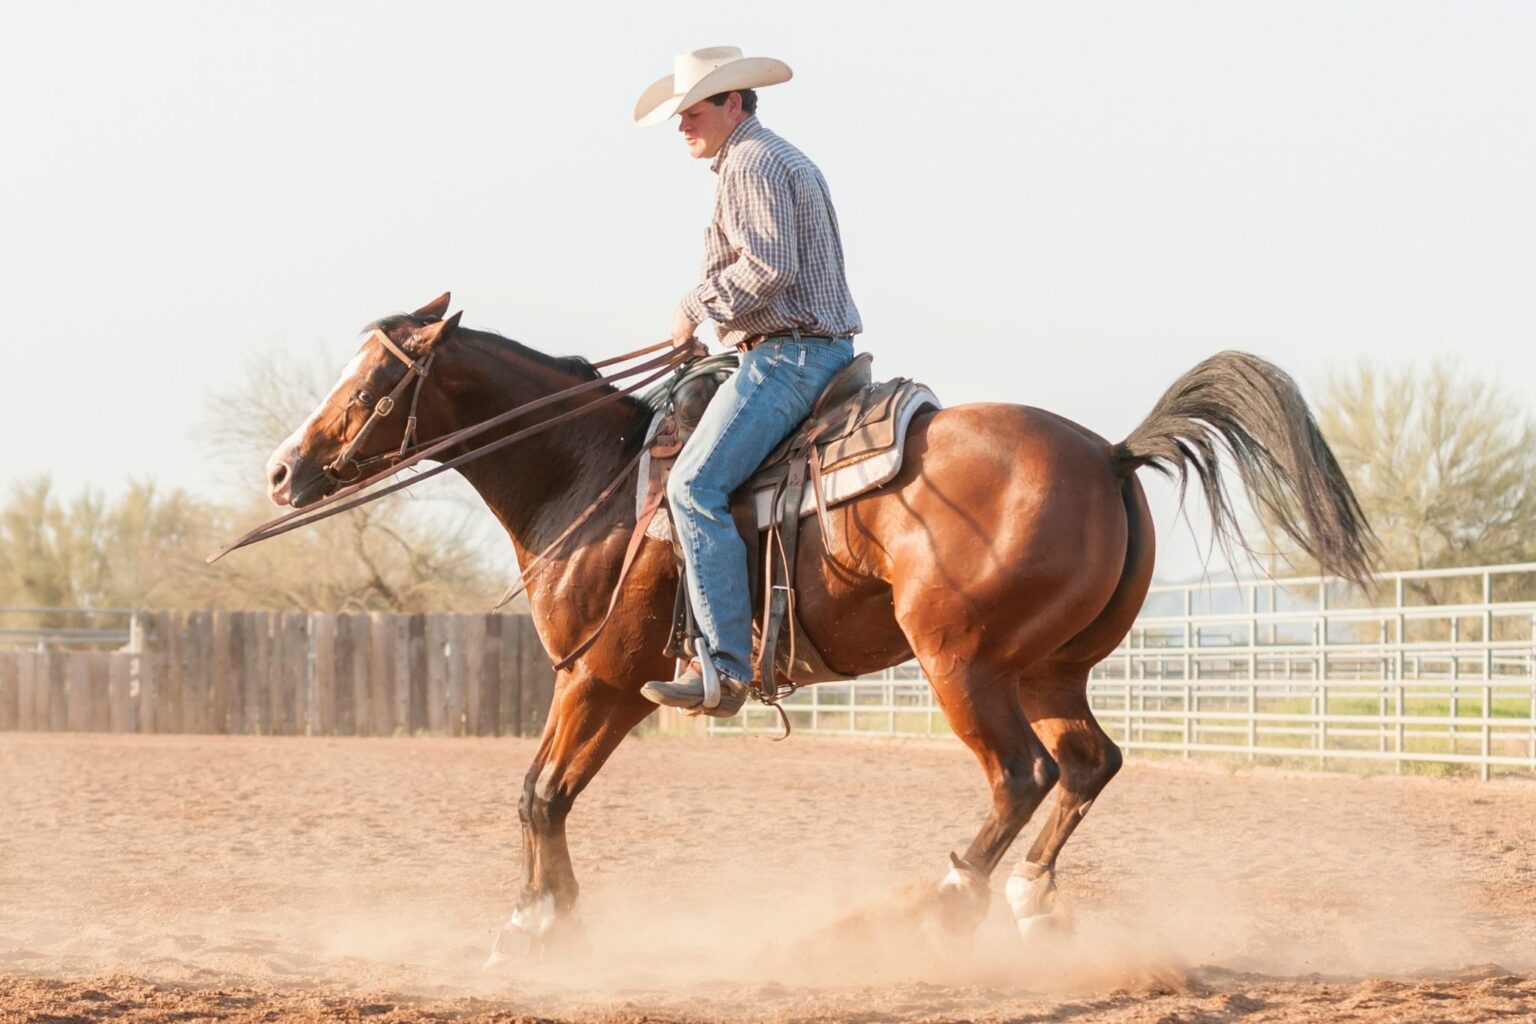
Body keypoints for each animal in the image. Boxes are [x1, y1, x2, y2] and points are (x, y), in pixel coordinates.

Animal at [262, 294, 1375, 959]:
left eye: (370, 383)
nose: (282, 470)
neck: (592, 475)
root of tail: (1107, 453)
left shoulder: (602, 676)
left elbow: (538, 791)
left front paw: (534, 921)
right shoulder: (612, 684)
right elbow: (546, 793)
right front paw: (545, 915)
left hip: (962, 663)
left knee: (1020, 775)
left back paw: (941, 902)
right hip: (1052, 669)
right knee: (1088, 764)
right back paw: (1029, 900)